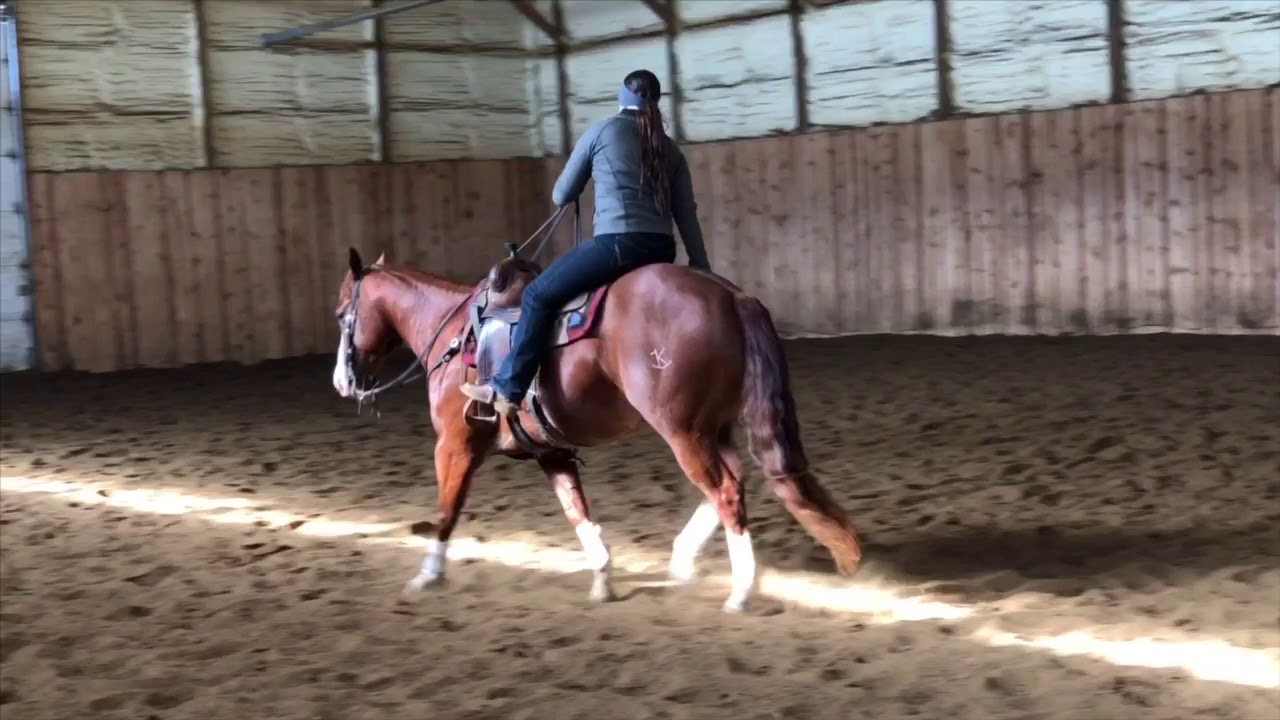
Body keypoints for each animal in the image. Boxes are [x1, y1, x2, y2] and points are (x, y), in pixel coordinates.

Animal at [331, 246, 862, 612]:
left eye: (341, 315)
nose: (342, 382)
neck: (458, 334)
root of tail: (732, 296)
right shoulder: (551, 452)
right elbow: (577, 511)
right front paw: (603, 578)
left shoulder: (455, 447)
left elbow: (447, 510)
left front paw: (428, 575)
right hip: (714, 426)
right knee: (733, 481)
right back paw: (683, 561)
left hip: (684, 432)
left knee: (726, 490)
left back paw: (740, 591)